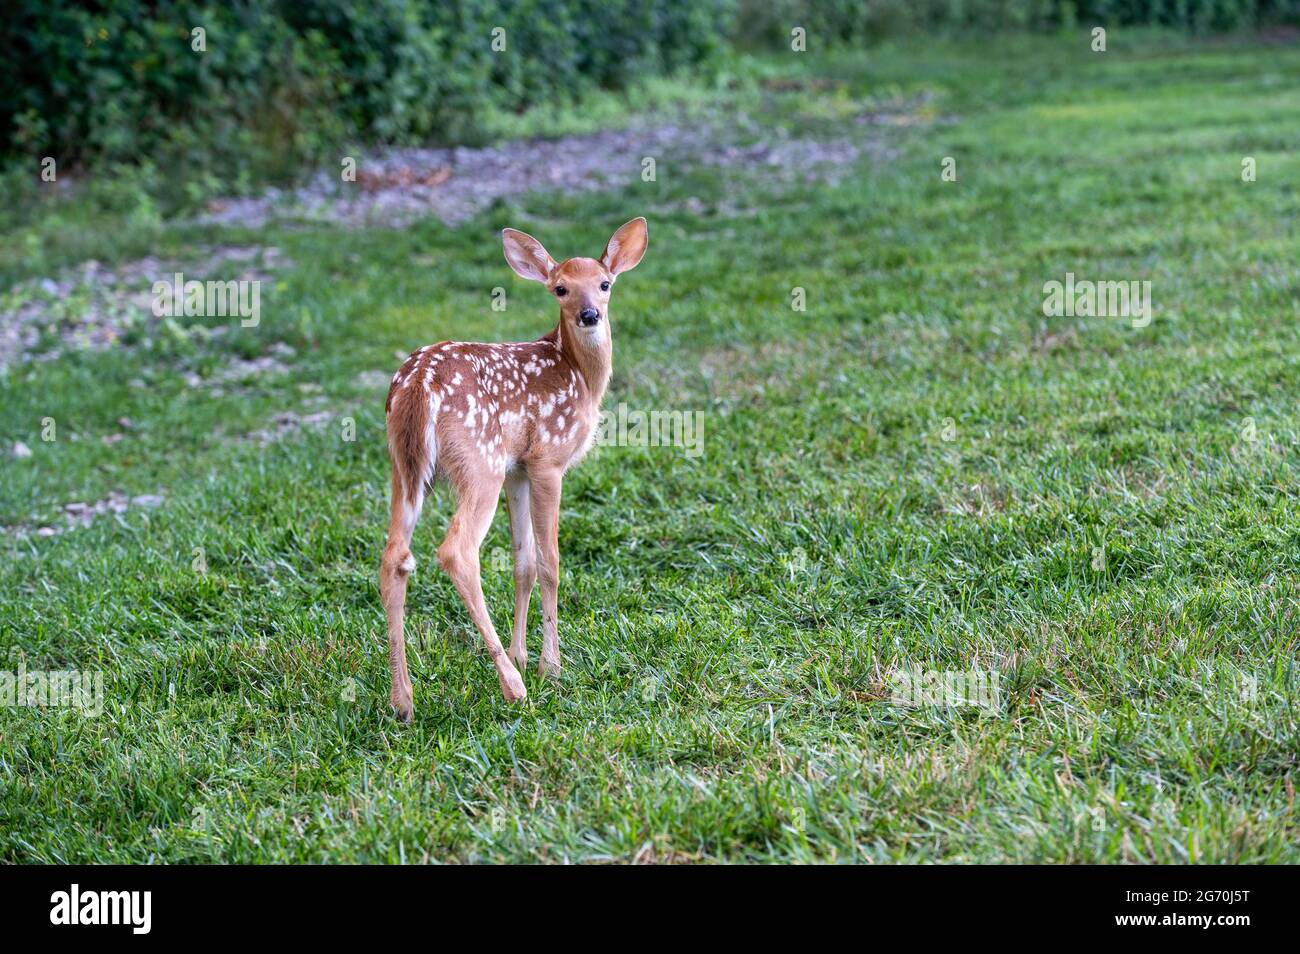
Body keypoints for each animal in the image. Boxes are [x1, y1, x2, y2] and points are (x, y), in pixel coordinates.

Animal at [379, 218, 648, 720]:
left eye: (605, 284)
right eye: (561, 288)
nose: (589, 315)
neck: (581, 377)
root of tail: (417, 387)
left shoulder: (516, 468)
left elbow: (523, 563)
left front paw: (523, 653)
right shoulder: (547, 461)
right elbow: (550, 562)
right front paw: (549, 666)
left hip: (404, 467)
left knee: (394, 557)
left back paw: (403, 701)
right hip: (478, 462)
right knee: (456, 551)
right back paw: (512, 686)